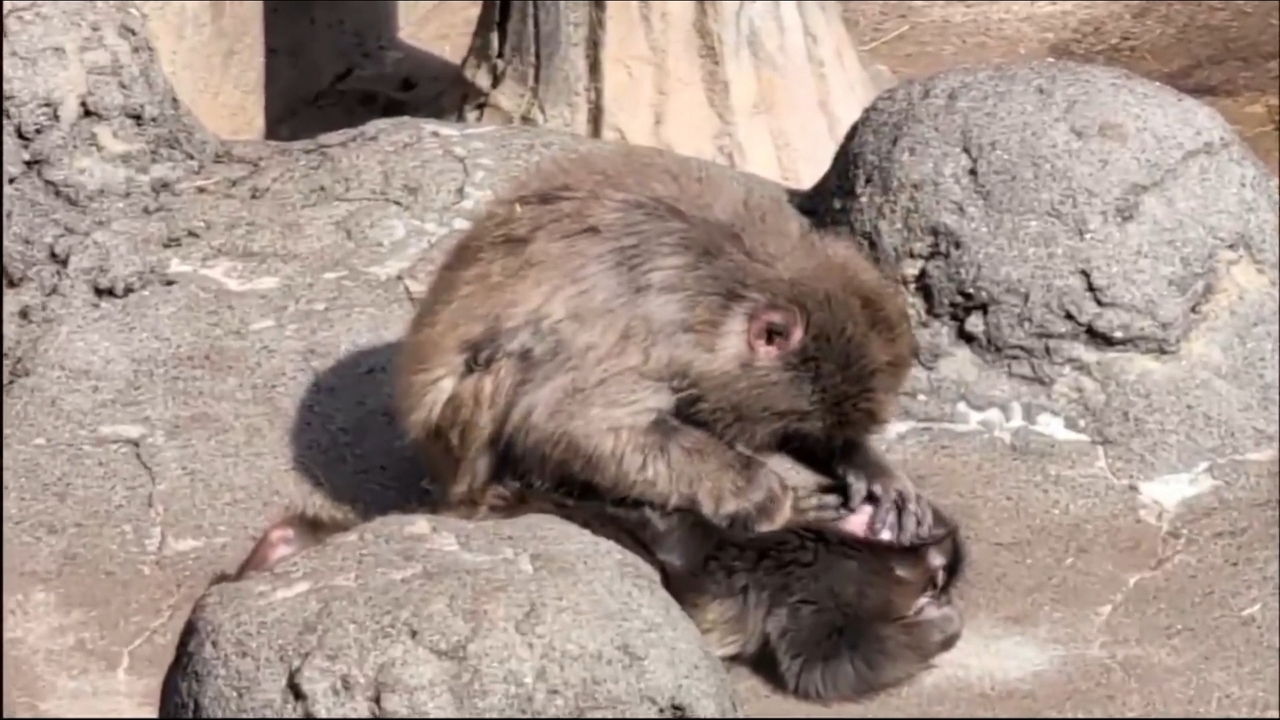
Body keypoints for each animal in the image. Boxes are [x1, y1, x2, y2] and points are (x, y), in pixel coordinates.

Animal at [393, 143, 929, 541]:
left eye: (798, 430)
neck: (719, 294)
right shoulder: (639, 326)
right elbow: (574, 423)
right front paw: (773, 500)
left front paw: (865, 465)